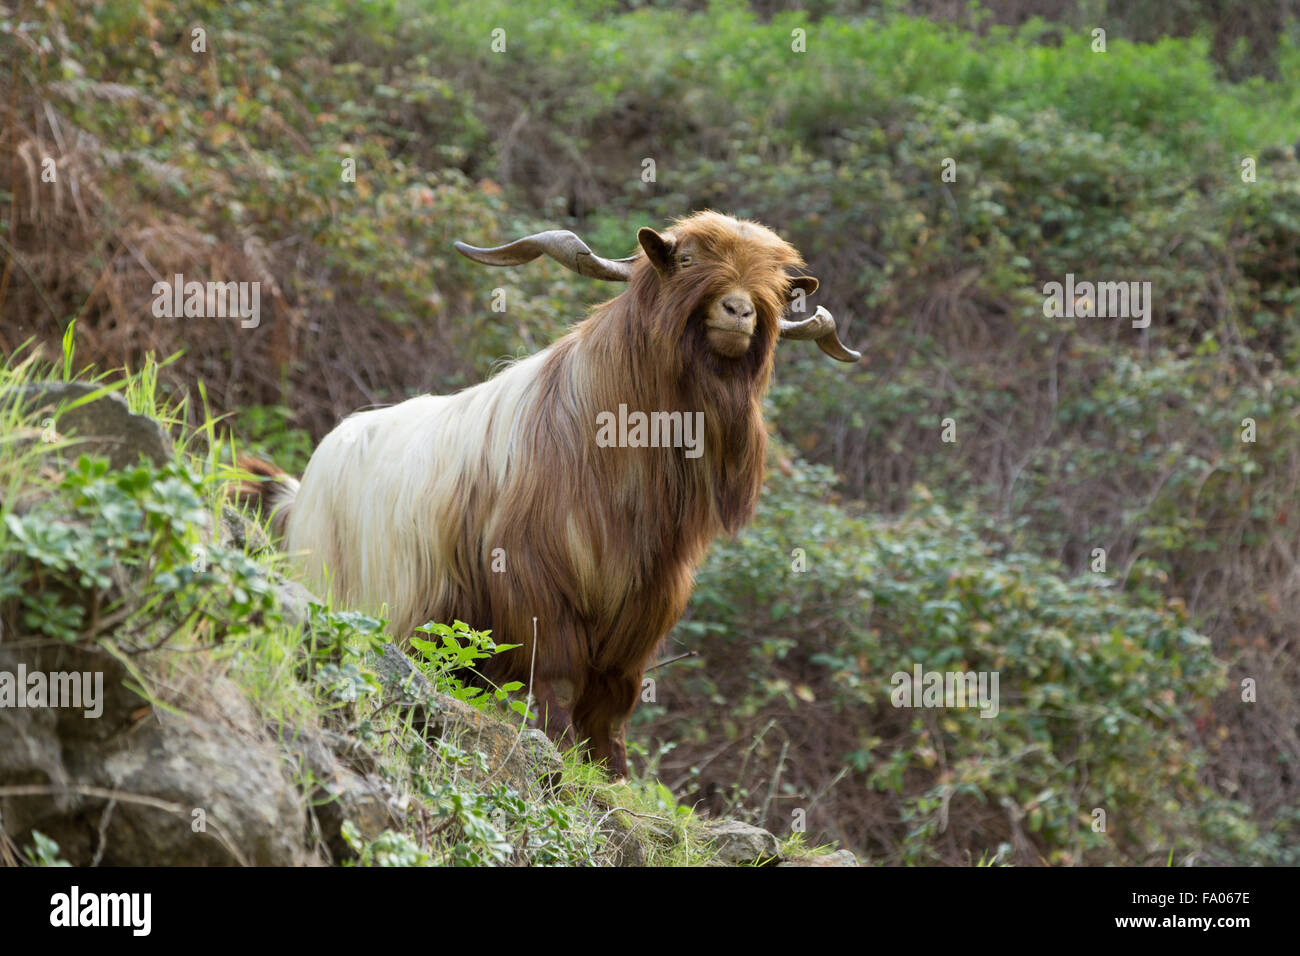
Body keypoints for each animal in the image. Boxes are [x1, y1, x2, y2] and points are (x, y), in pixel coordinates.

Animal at [246, 211, 858, 778]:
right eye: (686, 260)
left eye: (776, 285)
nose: (739, 311)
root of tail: (304, 487)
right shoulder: (535, 579)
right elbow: (560, 679)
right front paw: (560, 752)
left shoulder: (647, 603)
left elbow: (615, 703)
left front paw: (613, 773)